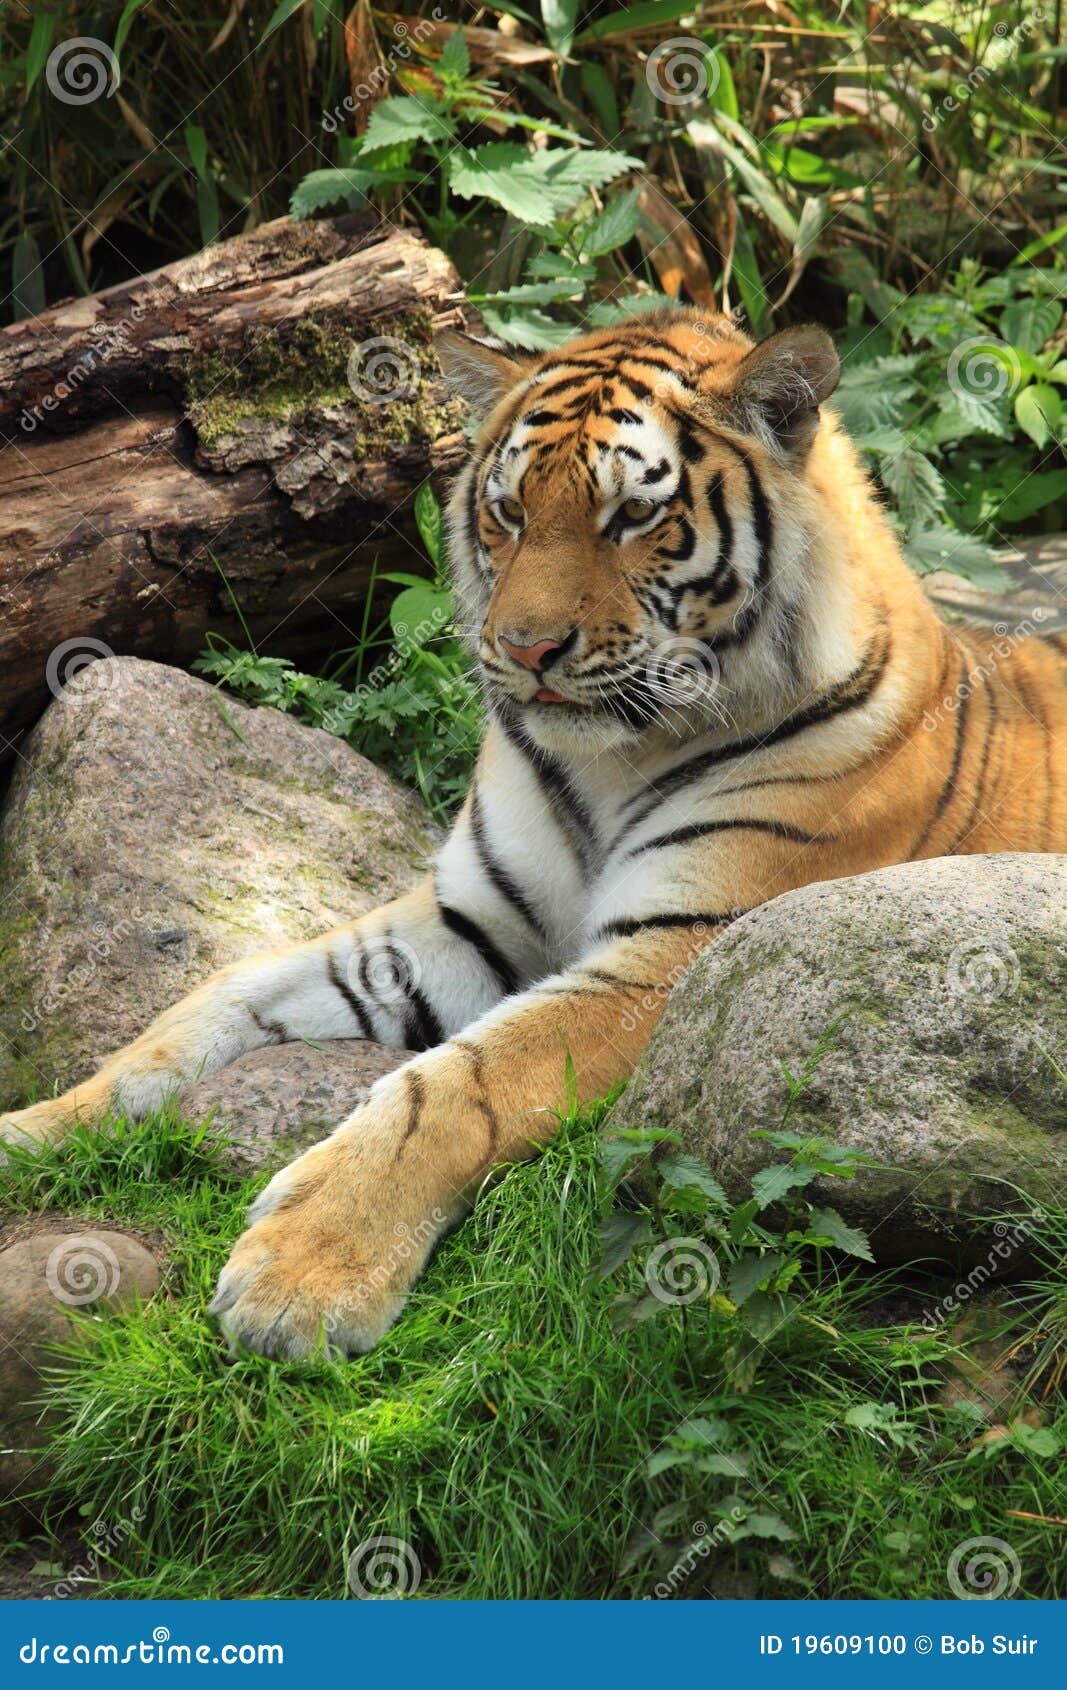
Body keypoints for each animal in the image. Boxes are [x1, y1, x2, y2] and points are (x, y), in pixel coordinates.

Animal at [2, 308, 1065, 1359]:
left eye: (632, 517)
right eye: (509, 512)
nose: (525, 649)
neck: (610, 762)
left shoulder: (666, 965)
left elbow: (455, 1085)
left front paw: (303, 1273)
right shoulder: (462, 920)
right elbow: (211, 1004)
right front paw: (41, 1127)